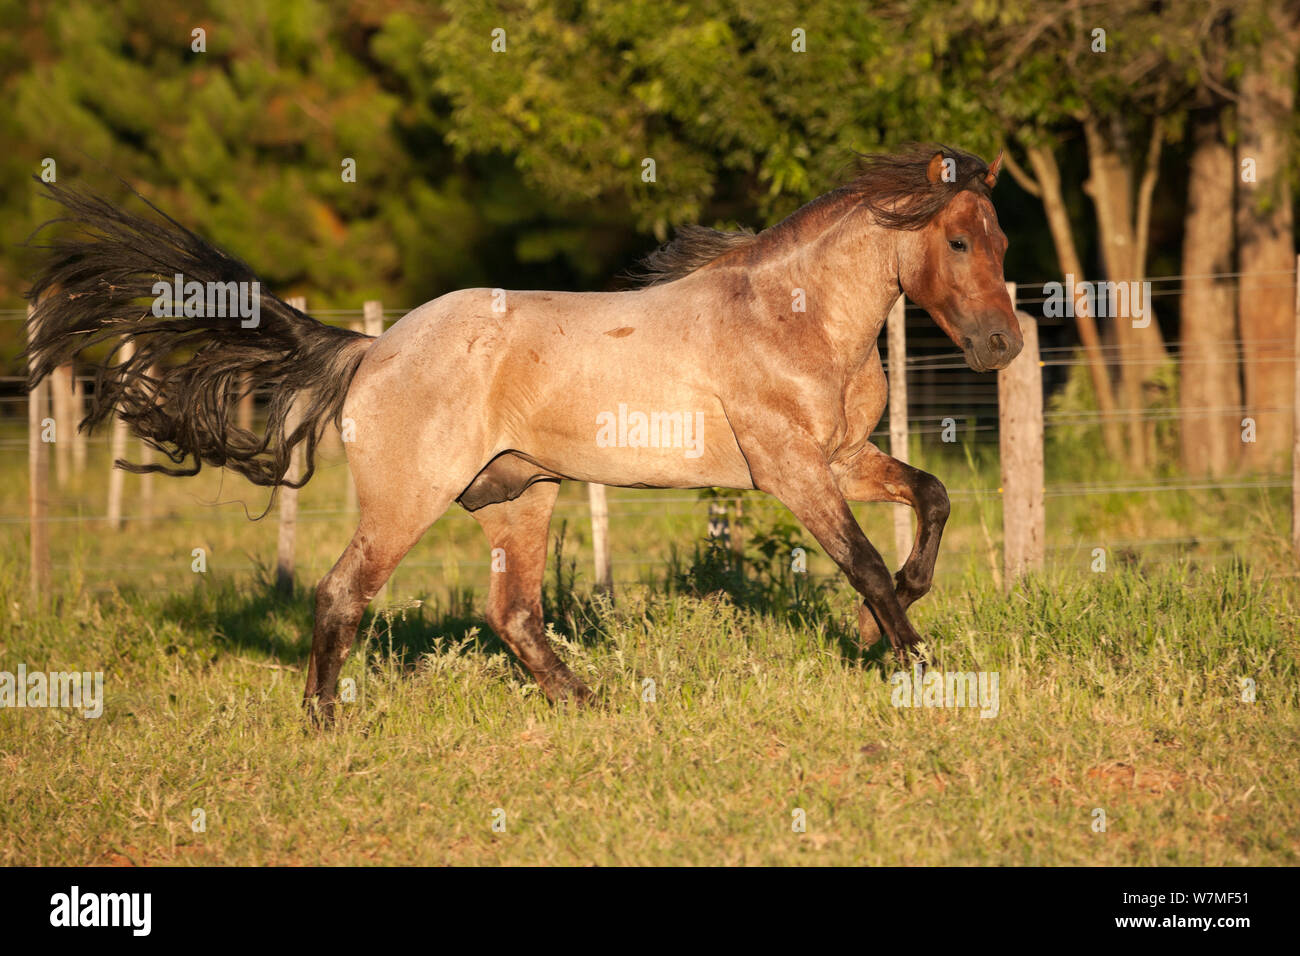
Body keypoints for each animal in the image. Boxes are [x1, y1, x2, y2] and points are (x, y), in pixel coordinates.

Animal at [25, 145, 1022, 721]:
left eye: (1004, 242)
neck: (791, 318)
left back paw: (591, 703)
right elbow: (862, 561)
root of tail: (373, 349)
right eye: (959, 243)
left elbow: (930, 500)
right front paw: (918, 664)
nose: (1003, 345)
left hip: (521, 495)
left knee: (513, 613)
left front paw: (889, 624)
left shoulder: (841, 459)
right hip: (410, 502)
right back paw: (326, 721)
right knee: (343, 592)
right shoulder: (790, 471)